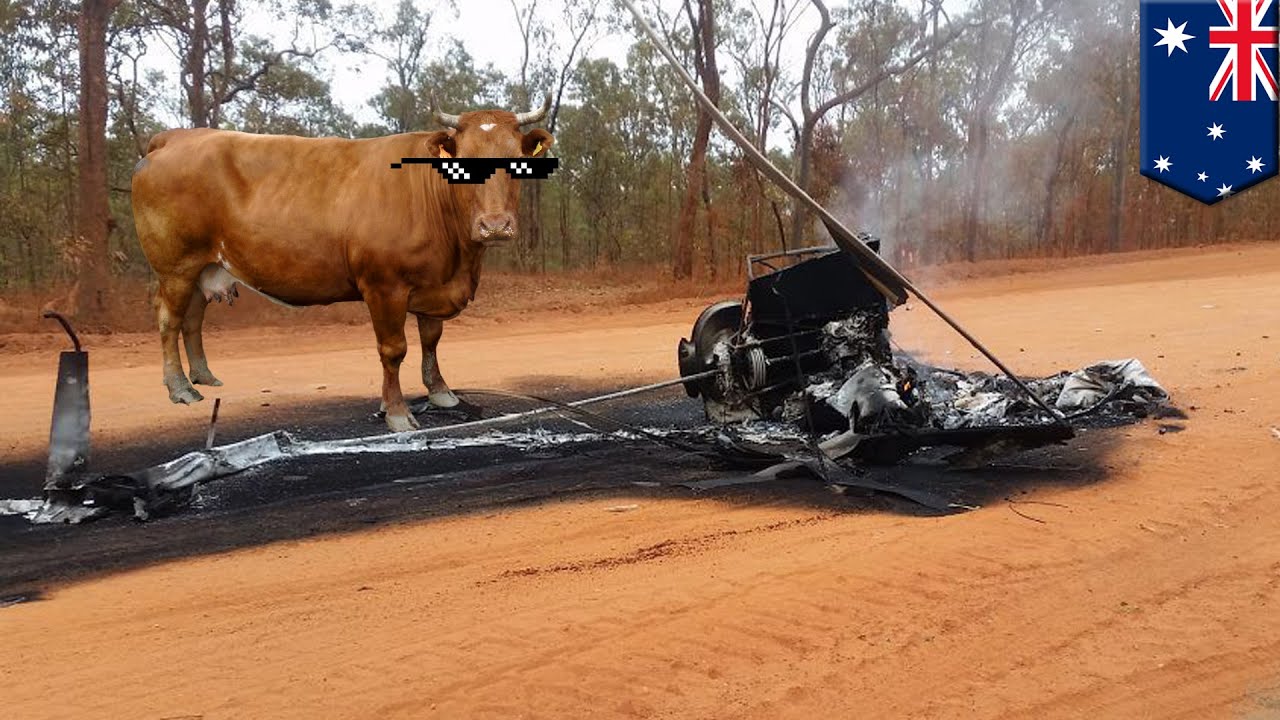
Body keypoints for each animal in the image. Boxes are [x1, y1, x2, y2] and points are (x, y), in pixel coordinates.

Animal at [131, 100, 555, 432]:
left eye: (517, 161)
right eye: (464, 163)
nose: (495, 225)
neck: (458, 260)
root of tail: (175, 137)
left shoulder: (431, 283)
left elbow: (431, 340)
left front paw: (440, 393)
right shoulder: (384, 285)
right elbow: (393, 349)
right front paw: (396, 412)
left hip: (203, 266)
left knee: (193, 318)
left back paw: (203, 376)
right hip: (175, 265)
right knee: (169, 320)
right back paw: (181, 388)